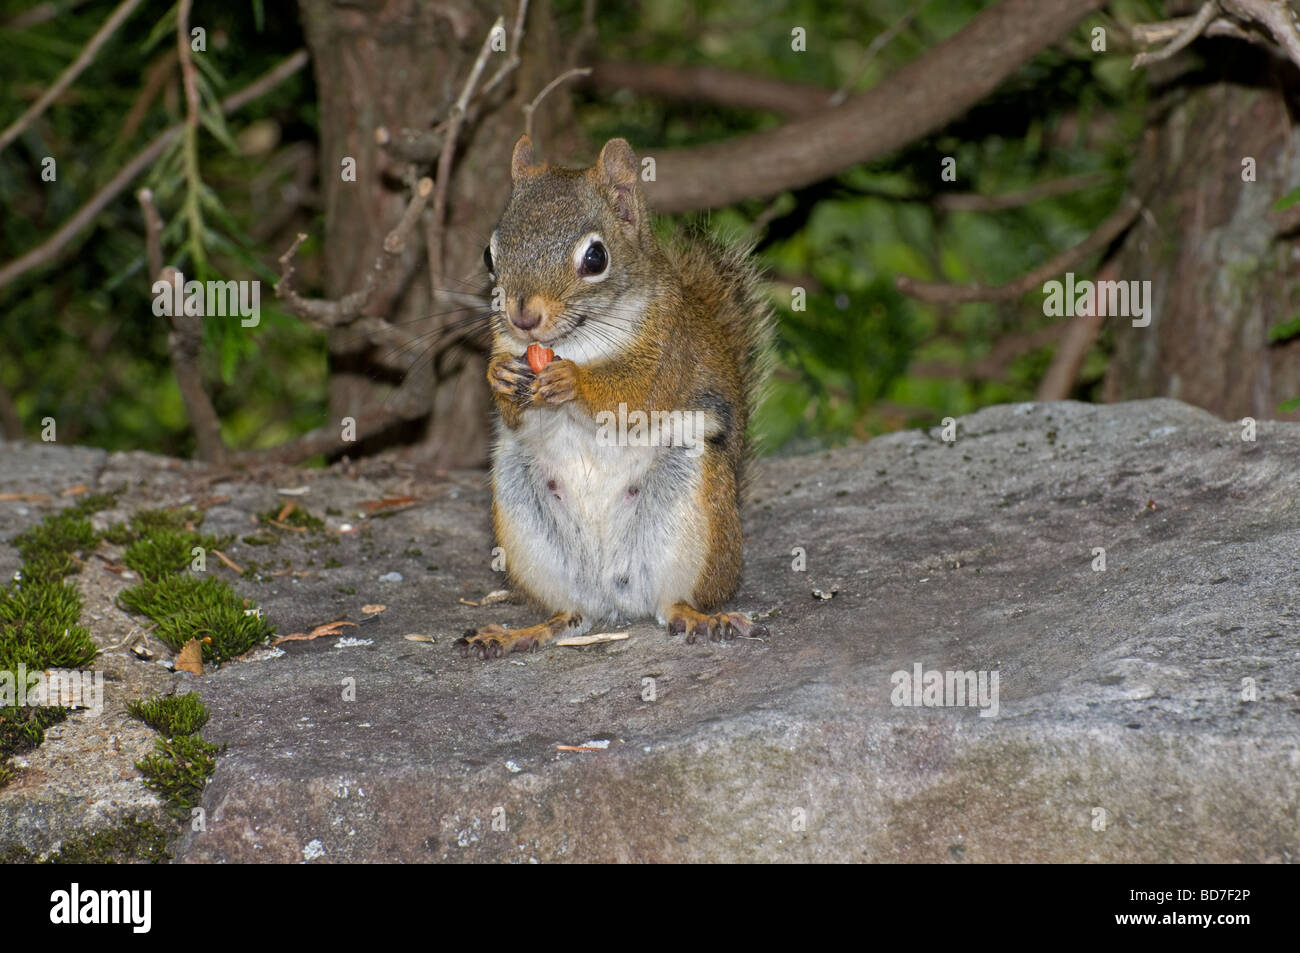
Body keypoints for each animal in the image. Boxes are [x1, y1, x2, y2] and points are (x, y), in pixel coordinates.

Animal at [456, 135, 772, 659]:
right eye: (488, 255)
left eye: (595, 258)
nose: (522, 316)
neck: (579, 344)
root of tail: (615, 599)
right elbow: (512, 406)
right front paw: (499, 375)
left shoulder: (668, 355)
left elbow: (634, 398)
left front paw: (573, 383)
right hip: (526, 517)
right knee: (571, 614)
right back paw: (520, 633)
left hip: (691, 504)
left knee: (673, 602)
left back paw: (703, 618)